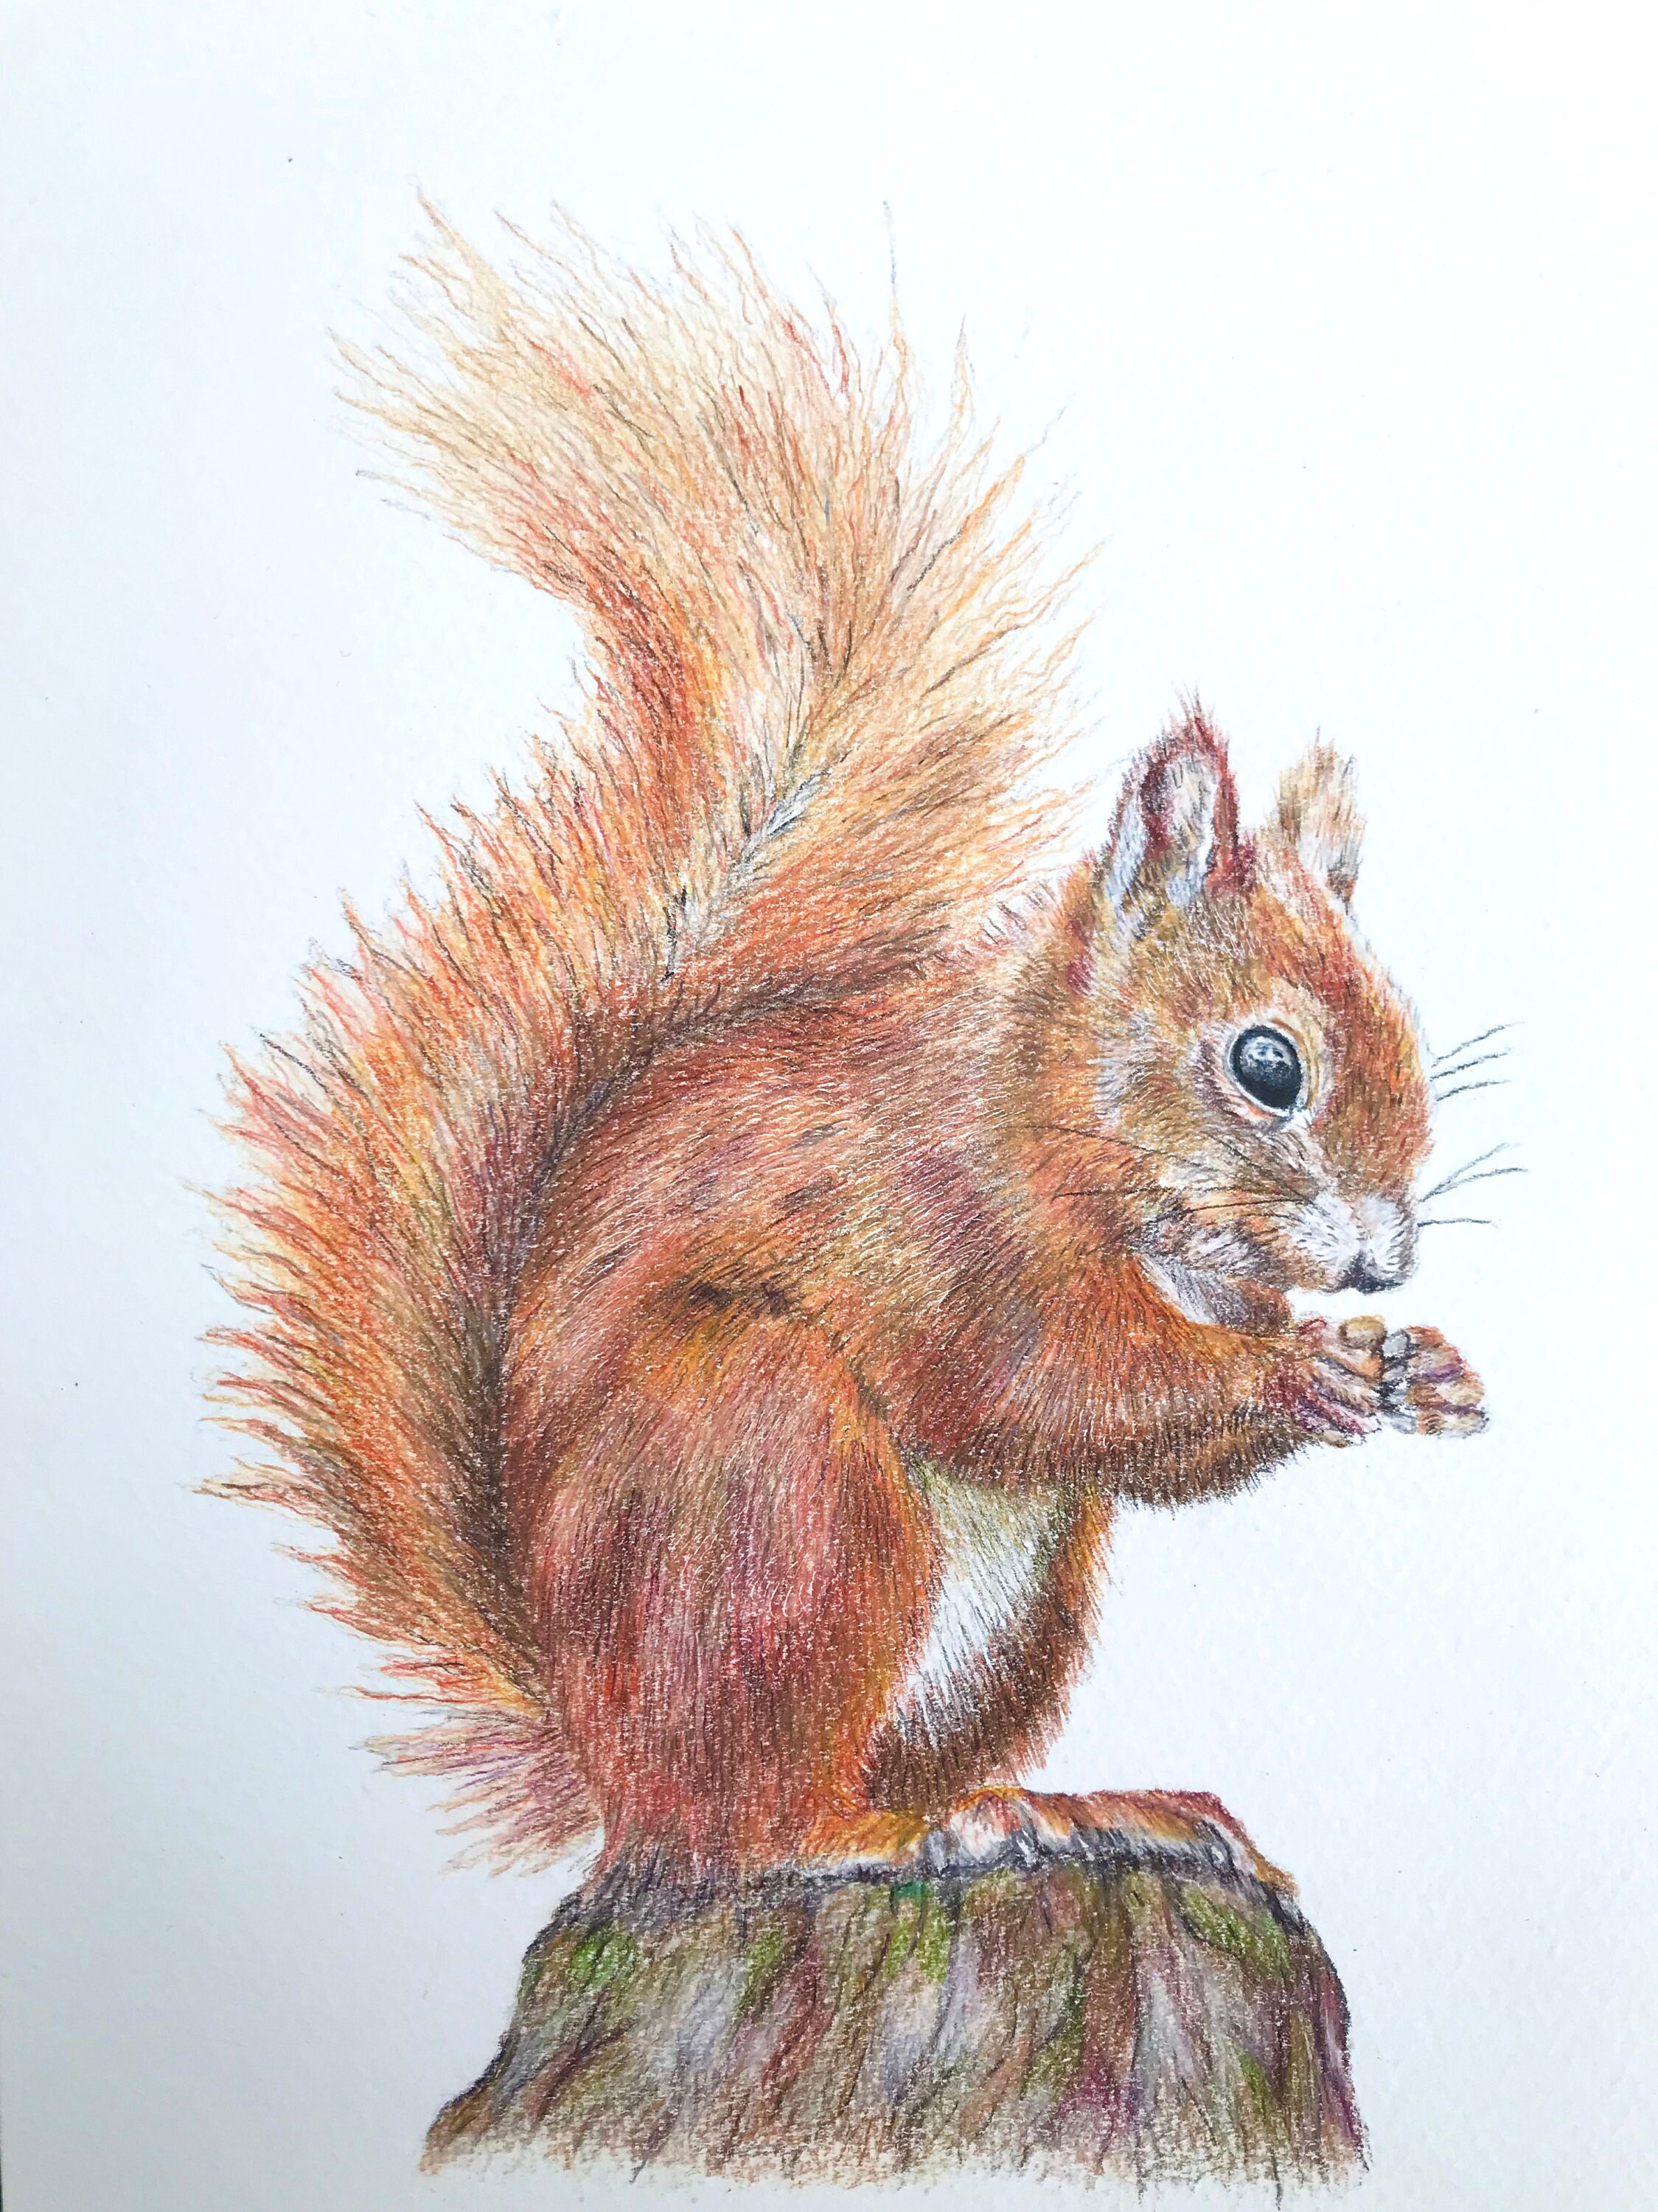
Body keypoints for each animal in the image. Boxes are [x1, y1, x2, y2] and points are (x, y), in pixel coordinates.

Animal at [211, 211, 1487, 1887]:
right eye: (1265, 1067)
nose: (1383, 1268)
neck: (1050, 1113)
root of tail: (599, 1757)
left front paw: (1415, 1372)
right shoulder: (935, 1222)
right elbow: (1043, 1385)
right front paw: (1299, 1372)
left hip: (1014, 1602)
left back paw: (1069, 1805)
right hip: (772, 1482)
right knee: (749, 1823)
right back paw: (870, 1832)